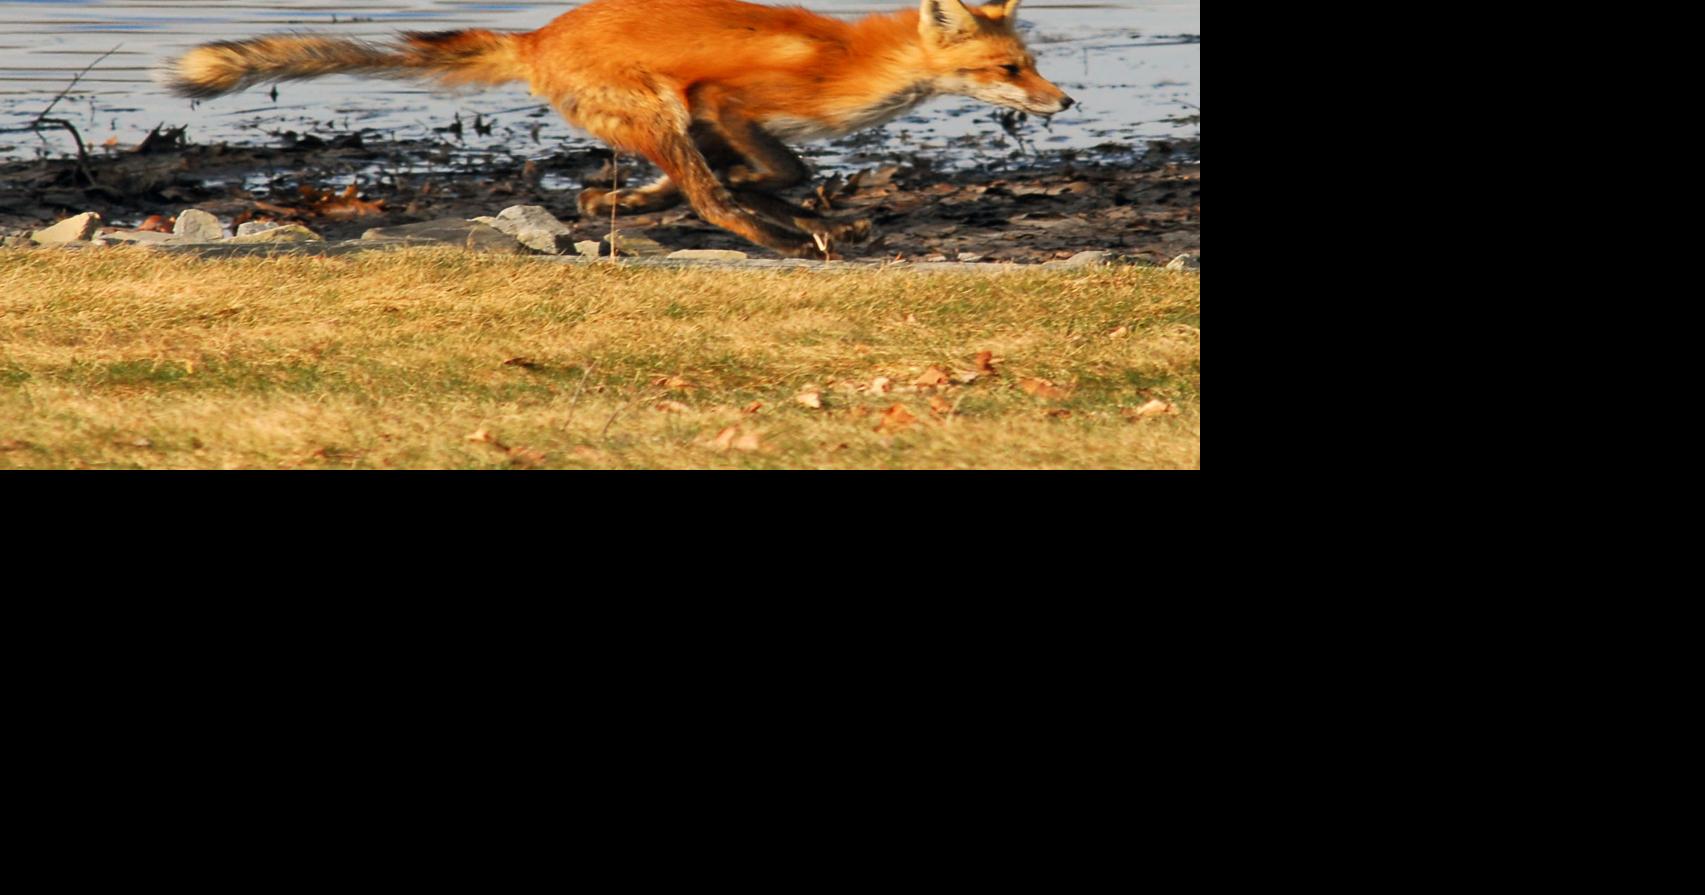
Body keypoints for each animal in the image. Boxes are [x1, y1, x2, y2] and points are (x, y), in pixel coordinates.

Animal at [159, 0, 1074, 257]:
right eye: (1008, 70)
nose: (1063, 103)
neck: (848, 65)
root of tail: (535, 36)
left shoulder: (714, 120)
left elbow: (755, 176)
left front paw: (628, 204)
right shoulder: (721, 100)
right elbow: (777, 173)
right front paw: (787, 210)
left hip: (656, 117)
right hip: (657, 110)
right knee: (715, 204)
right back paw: (781, 240)